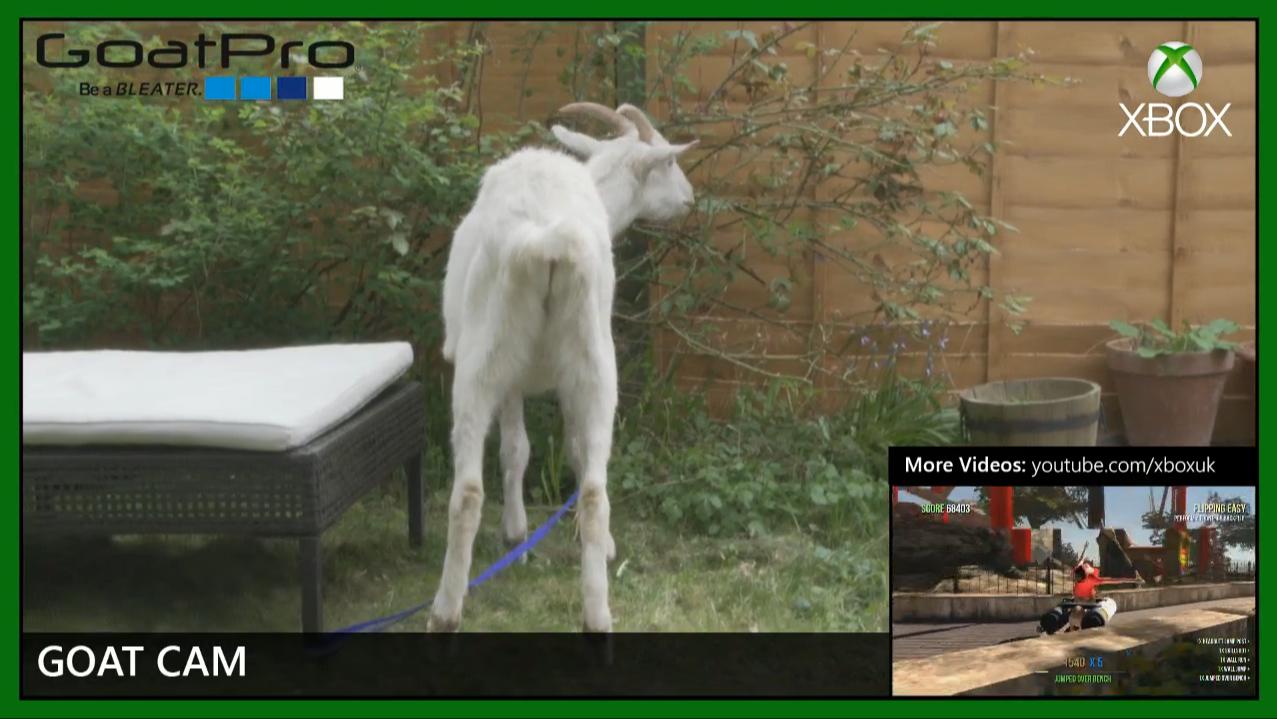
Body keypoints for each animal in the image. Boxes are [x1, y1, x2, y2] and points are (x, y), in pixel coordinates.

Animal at [429, 102, 697, 632]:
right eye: (670, 162)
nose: (690, 199)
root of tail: (547, 238)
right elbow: (560, 450)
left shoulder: (512, 378)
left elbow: (515, 449)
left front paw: (515, 532)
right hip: (593, 361)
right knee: (594, 491)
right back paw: (597, 612)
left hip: (485, 360)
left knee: (467, 491)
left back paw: (445, 611)